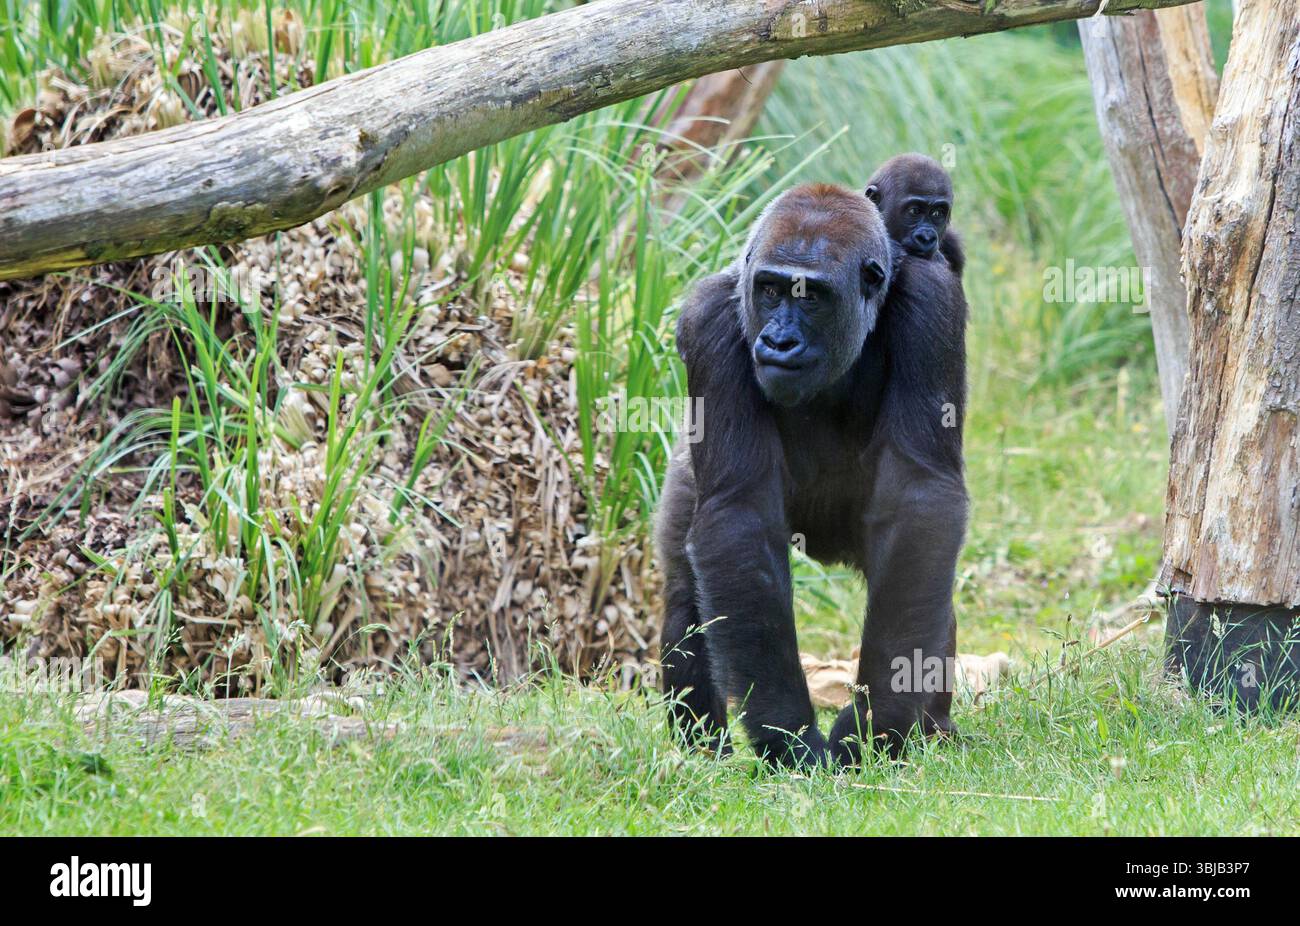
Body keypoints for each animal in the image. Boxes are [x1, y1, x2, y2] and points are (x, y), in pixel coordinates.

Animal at [656, 182, 968, 769]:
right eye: (771, 290)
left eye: (812, 297)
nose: (779, 342)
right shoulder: (707, 319)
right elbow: (739, 517)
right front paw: (789, 735)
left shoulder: (933, 302)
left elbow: (921, 498)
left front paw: (875, 725)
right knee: (687, 594)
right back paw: (704, 751)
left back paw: (933, 727)